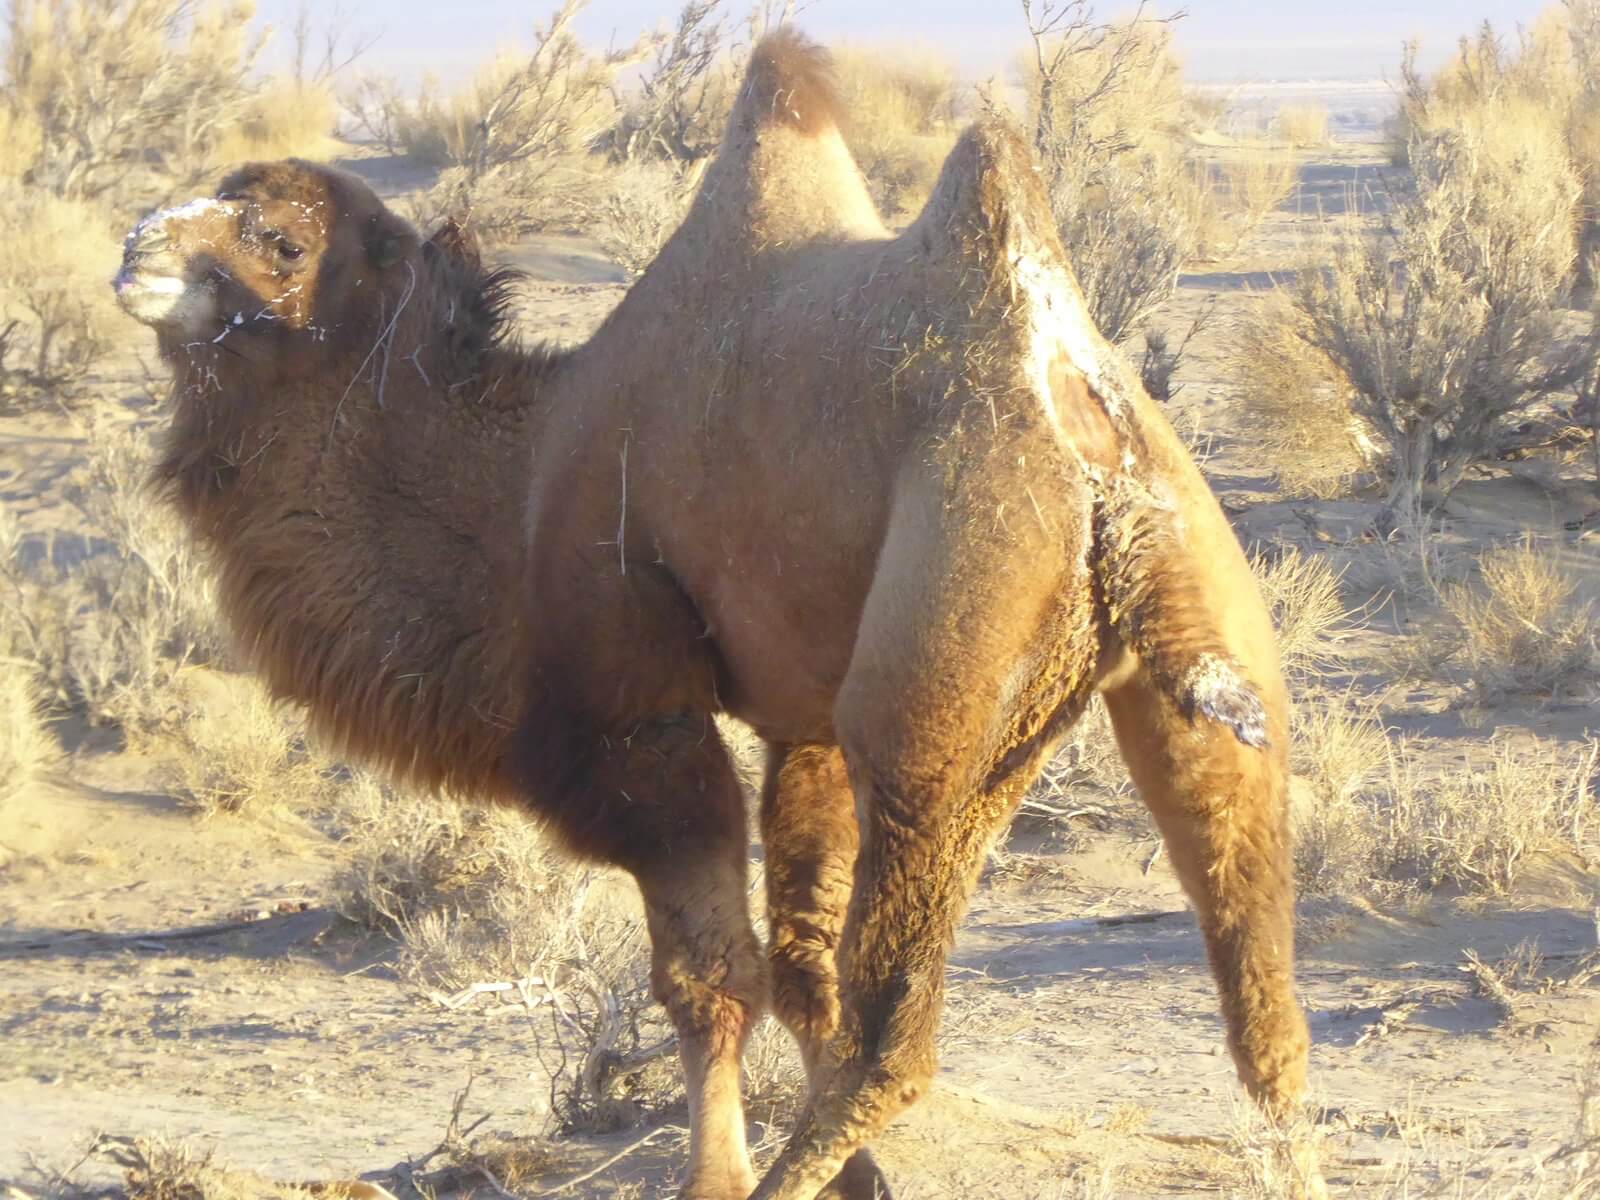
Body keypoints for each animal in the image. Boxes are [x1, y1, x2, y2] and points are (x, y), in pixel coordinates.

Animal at [113, 33, 1313, 1200]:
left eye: (277, 240)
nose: (134, 250)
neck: (519, 475)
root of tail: (1101, 467)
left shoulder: (639, 712)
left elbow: (711, 977)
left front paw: (720, 1178)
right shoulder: (801, 720)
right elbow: (798, 968)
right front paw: (862, 1184)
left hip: (939, 682)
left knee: (898, 1034)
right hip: (1199, 654)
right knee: (1264, 1007)